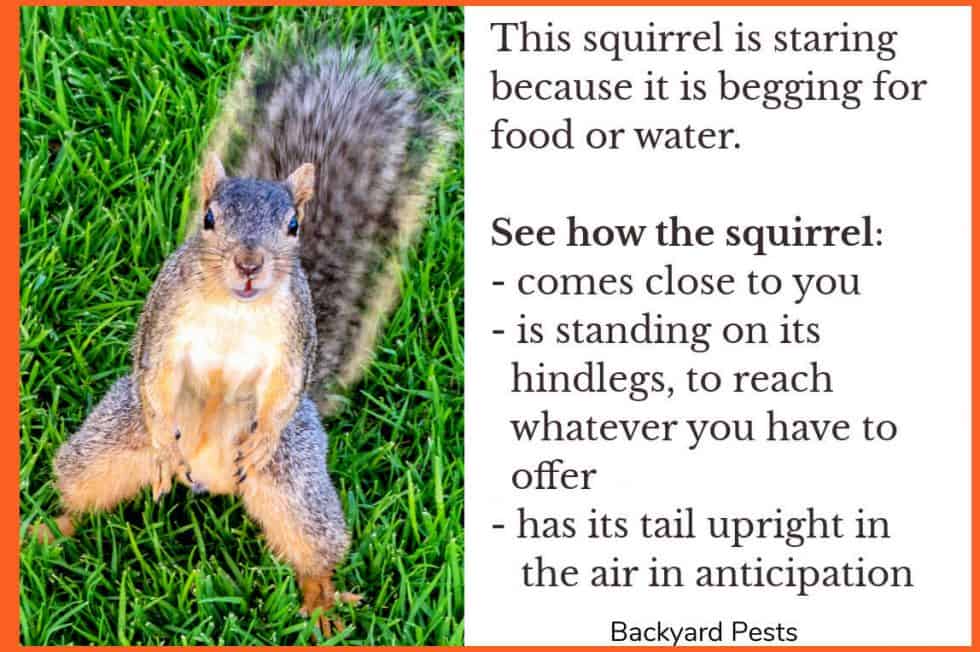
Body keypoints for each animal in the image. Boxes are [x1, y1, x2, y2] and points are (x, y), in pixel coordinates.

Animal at [31, 44, 449, 635]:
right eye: (209, 218)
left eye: (294, 226)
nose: (249, 264)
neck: (234, 307)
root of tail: (210, 480)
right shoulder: (163, 319)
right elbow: (154, 371)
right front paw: (164, 441)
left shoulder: (295, 337)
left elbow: (288, 382)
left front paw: (264, 434)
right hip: (109, 443)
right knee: (81, 495)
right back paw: (47, 531)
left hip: (296, 487)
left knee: (313, 549)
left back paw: (321, 605)